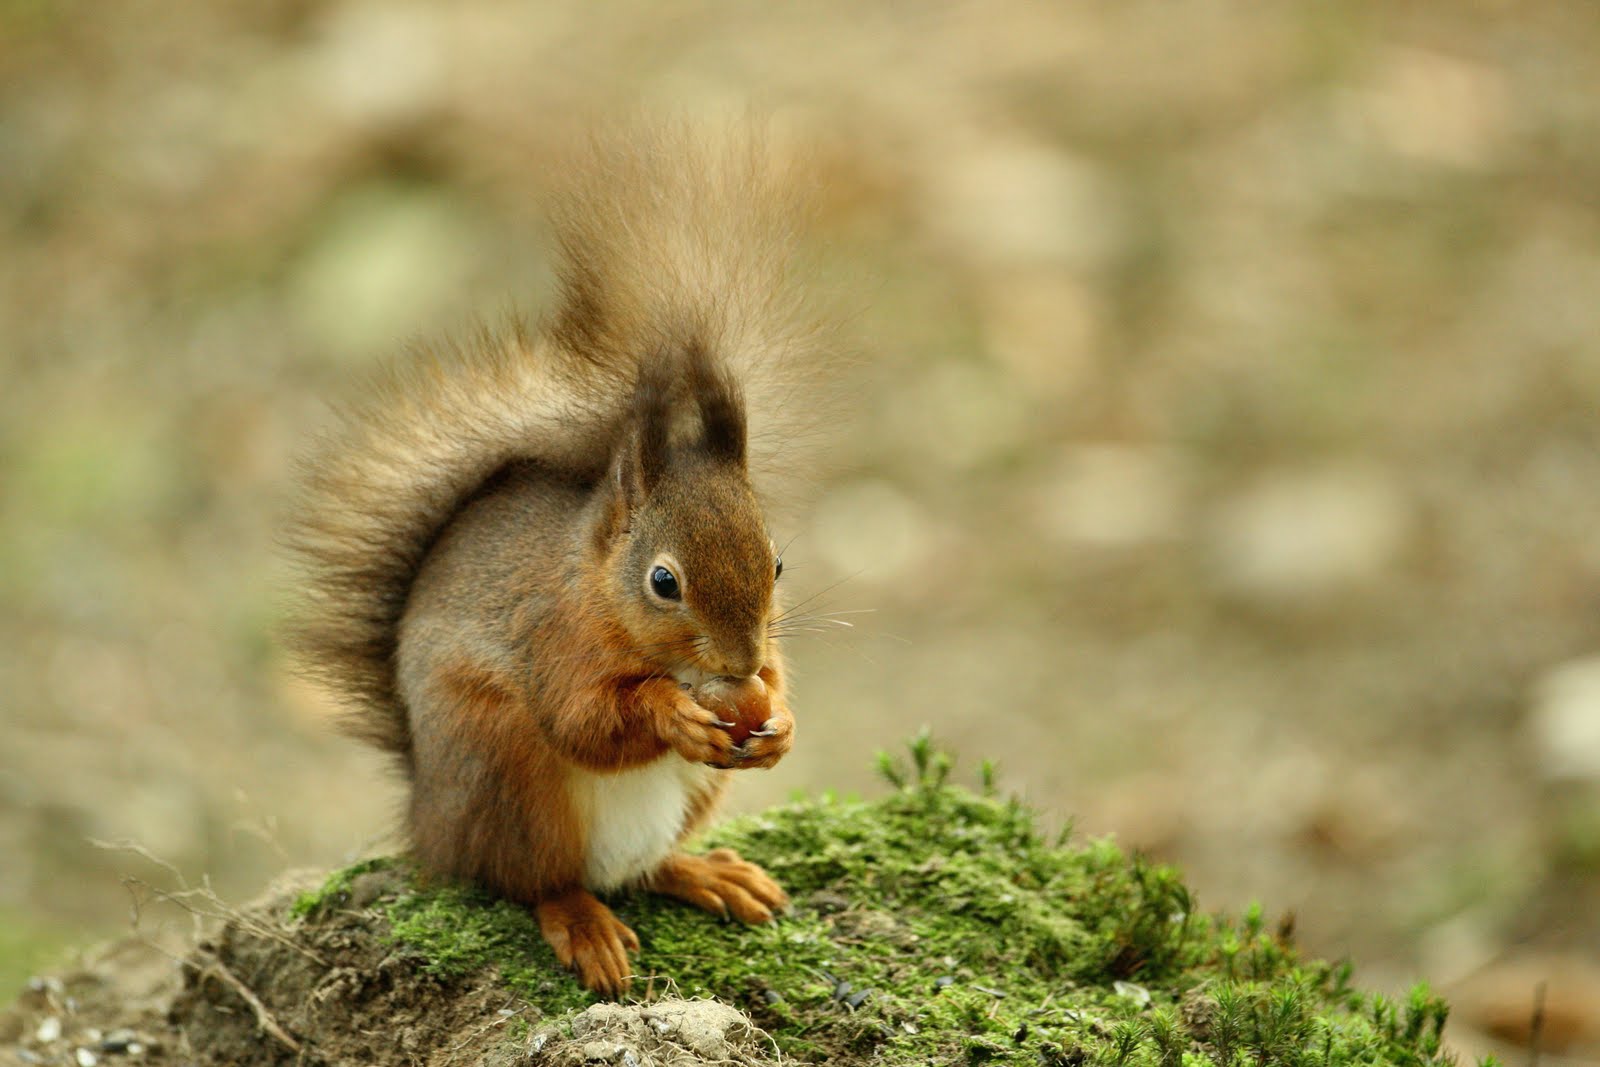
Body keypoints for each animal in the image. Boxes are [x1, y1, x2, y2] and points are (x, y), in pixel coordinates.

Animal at [286, 126, 837, 996]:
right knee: (535, 881)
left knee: (641, 869)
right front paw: (670, 712)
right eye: (663, 581)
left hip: (681, 796)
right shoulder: (551, 638)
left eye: (776, 563)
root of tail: (429, 821)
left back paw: (707, 873)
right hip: (509, 776)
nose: (742, 662)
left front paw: (778, 719)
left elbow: (775, 688)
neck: (595, 587)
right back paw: (584, 925)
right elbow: (585, 720)